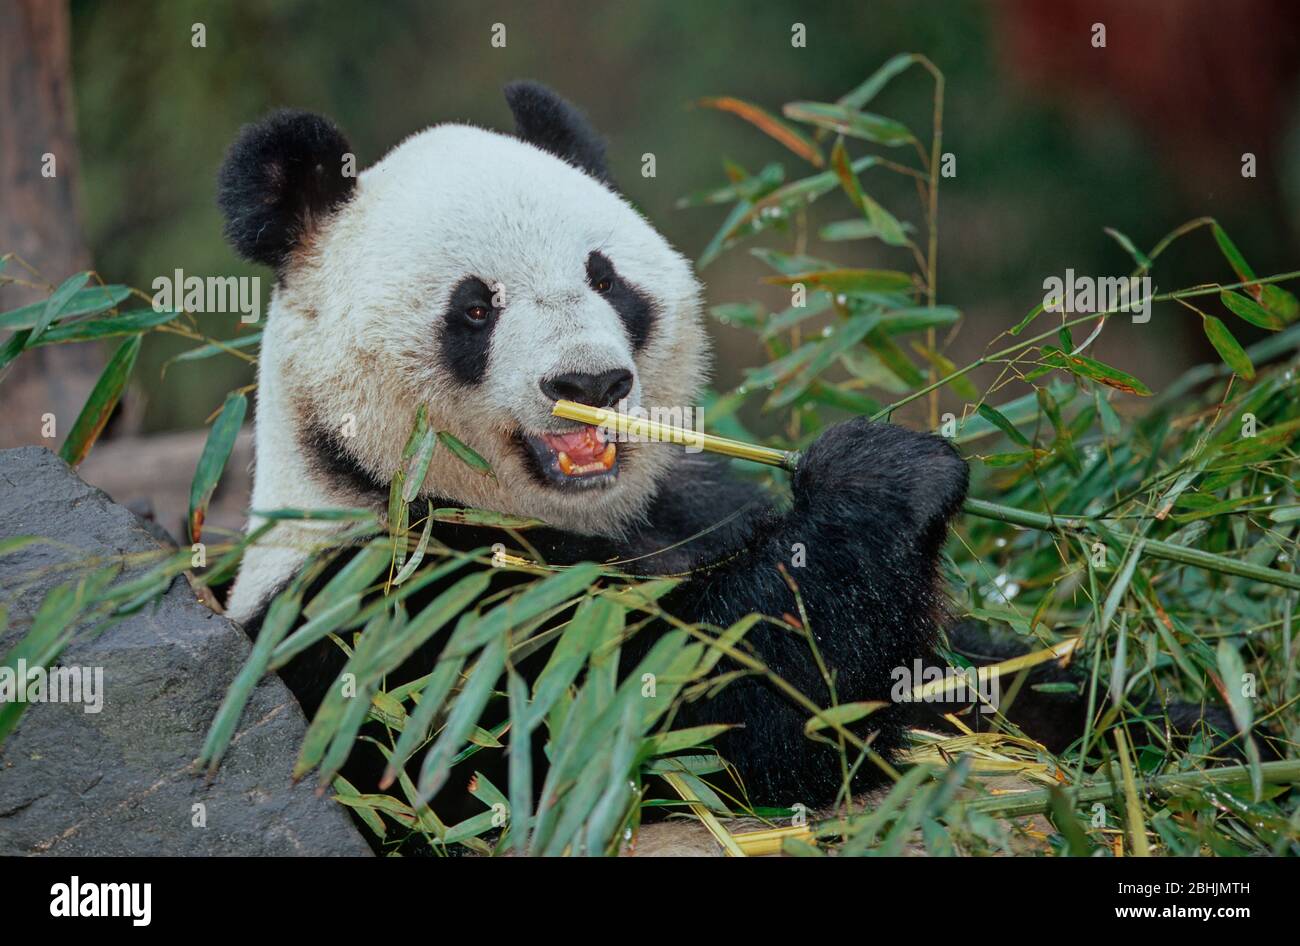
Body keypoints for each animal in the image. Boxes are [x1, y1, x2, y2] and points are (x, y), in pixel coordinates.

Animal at [216, 81, 970, 813]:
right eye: (476, 308)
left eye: (605, 280)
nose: (591, 381)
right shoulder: (387, 608)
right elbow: (661, 719)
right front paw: (879, 479)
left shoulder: (691, 503)